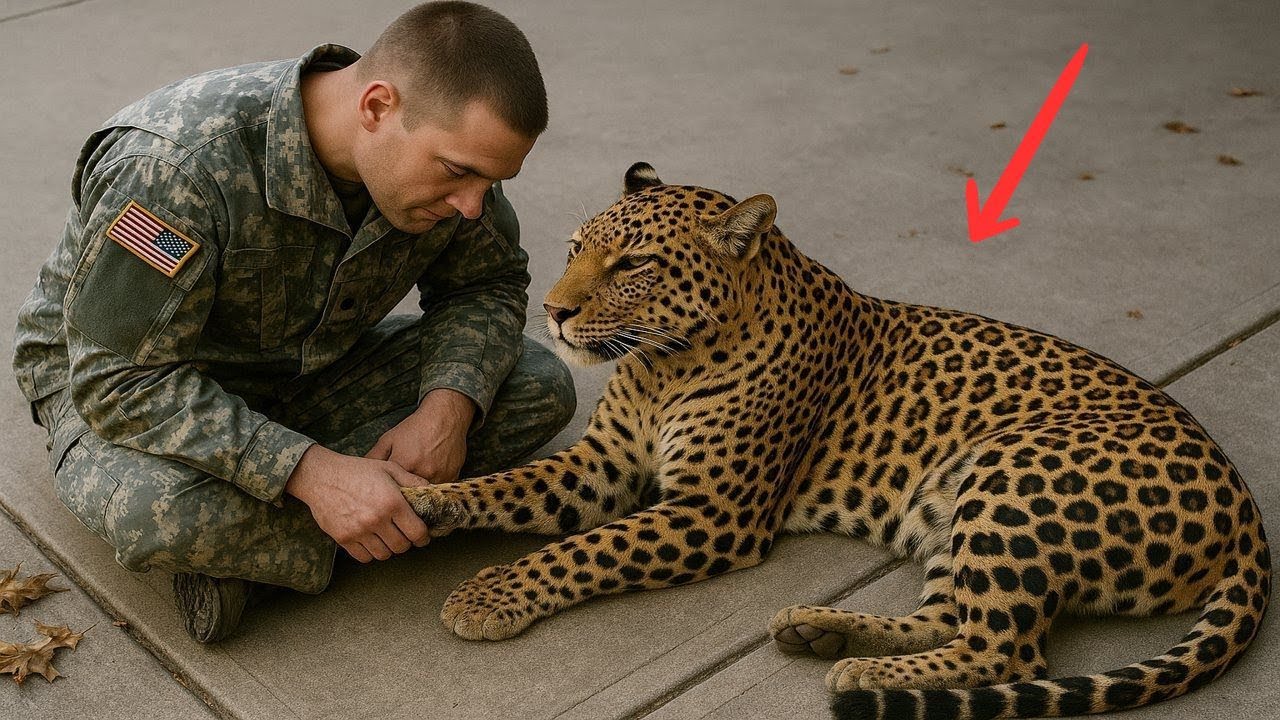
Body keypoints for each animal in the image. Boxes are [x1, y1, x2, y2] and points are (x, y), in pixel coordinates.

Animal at [403, 162, 1270, 718]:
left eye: (634, 264)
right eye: (577, 247)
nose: (552, 312)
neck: (662, 364)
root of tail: (1246, 510)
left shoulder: (715, 513)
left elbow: (582, 550)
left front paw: (484, 597)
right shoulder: (601, 464)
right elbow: (510, 491)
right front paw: (425, 500)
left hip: (1014, 470)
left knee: (1009, 651)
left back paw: (860, 676)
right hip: (959, 513)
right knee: (960, 616)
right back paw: (823, 632)